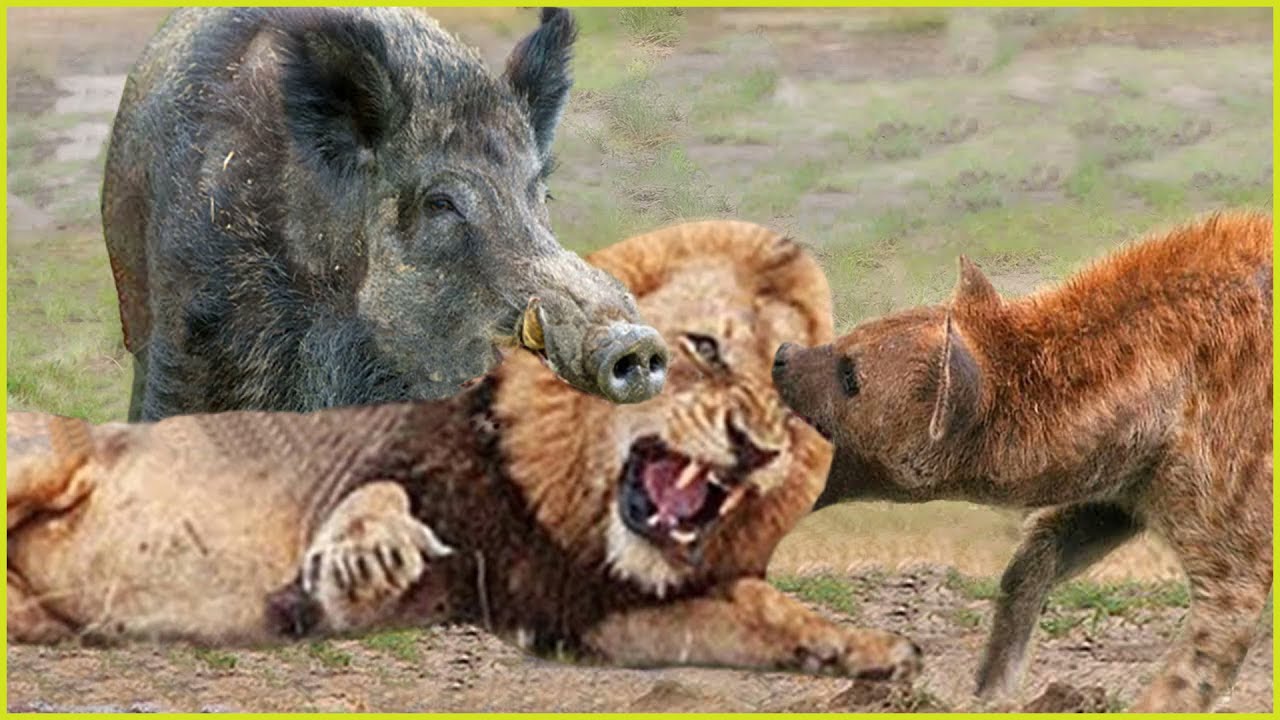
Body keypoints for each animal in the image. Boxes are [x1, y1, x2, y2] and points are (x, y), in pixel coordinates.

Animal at [7, 221, 922, 681]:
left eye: (782, 390)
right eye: (703, 348)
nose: (758, 446)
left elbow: (770, 613)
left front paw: (873, 651)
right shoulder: (563, 609)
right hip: (44, 456)